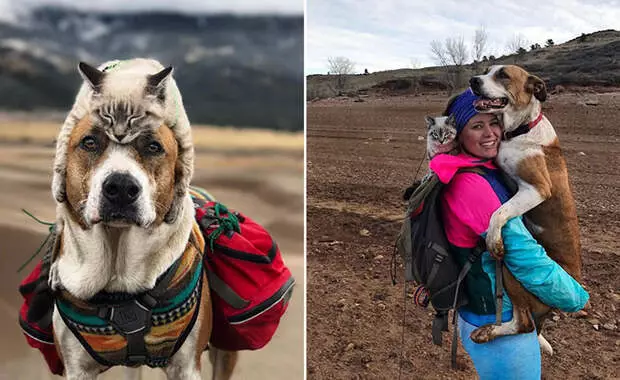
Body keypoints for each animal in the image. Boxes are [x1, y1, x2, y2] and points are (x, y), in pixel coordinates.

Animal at [47, 58, 237, 378]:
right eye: (89, 142)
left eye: (153, 147)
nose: (121, 188)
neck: (118, 276)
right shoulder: (76, 368)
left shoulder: (186, 366)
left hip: (225, 353)